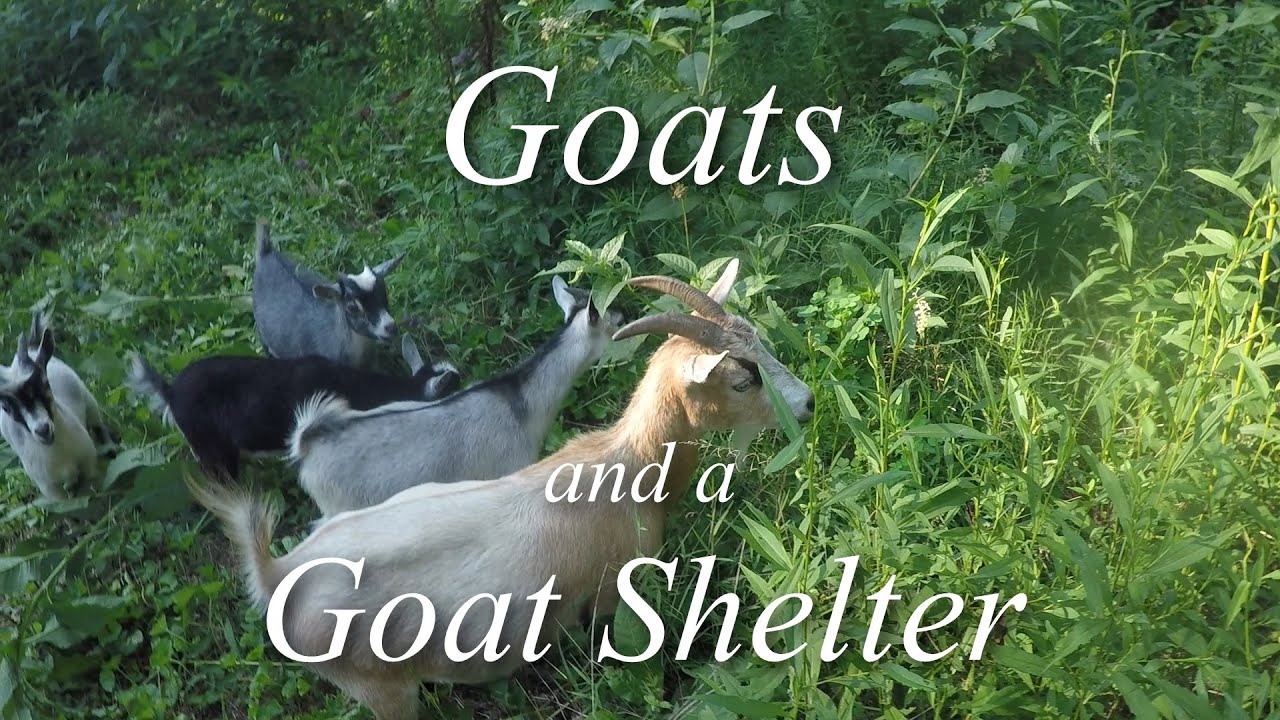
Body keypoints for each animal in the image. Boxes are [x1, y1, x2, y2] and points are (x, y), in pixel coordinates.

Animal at [1, 314, 114, 500]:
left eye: (45, 383)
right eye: (6, 406)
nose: (43, 430)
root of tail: (33, 347)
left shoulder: (88, 463)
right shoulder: (49, 488)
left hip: (89, 401)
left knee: (98, 424)